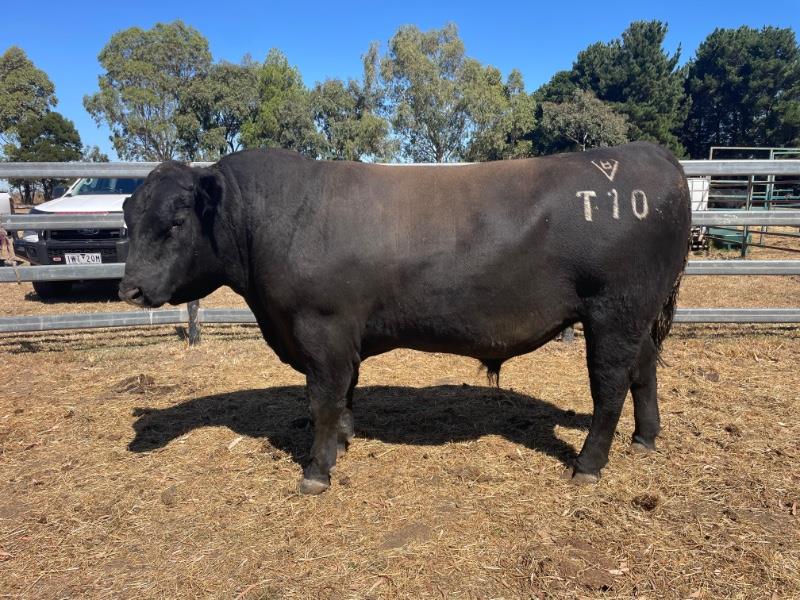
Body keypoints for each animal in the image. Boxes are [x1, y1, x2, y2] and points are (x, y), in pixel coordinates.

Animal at [119, 141, 691, 495]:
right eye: (128, 215)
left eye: (175, 222)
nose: (129, 288)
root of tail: (650, 154)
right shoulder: (342, 336)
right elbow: (345, 395)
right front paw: (343, 442)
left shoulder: (322, 329)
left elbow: (323, 400)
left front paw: (316, 471)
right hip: (636, 313)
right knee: (644, 371)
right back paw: (645, 439)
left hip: (613, 311)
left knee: (610, 385)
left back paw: (587, 465)